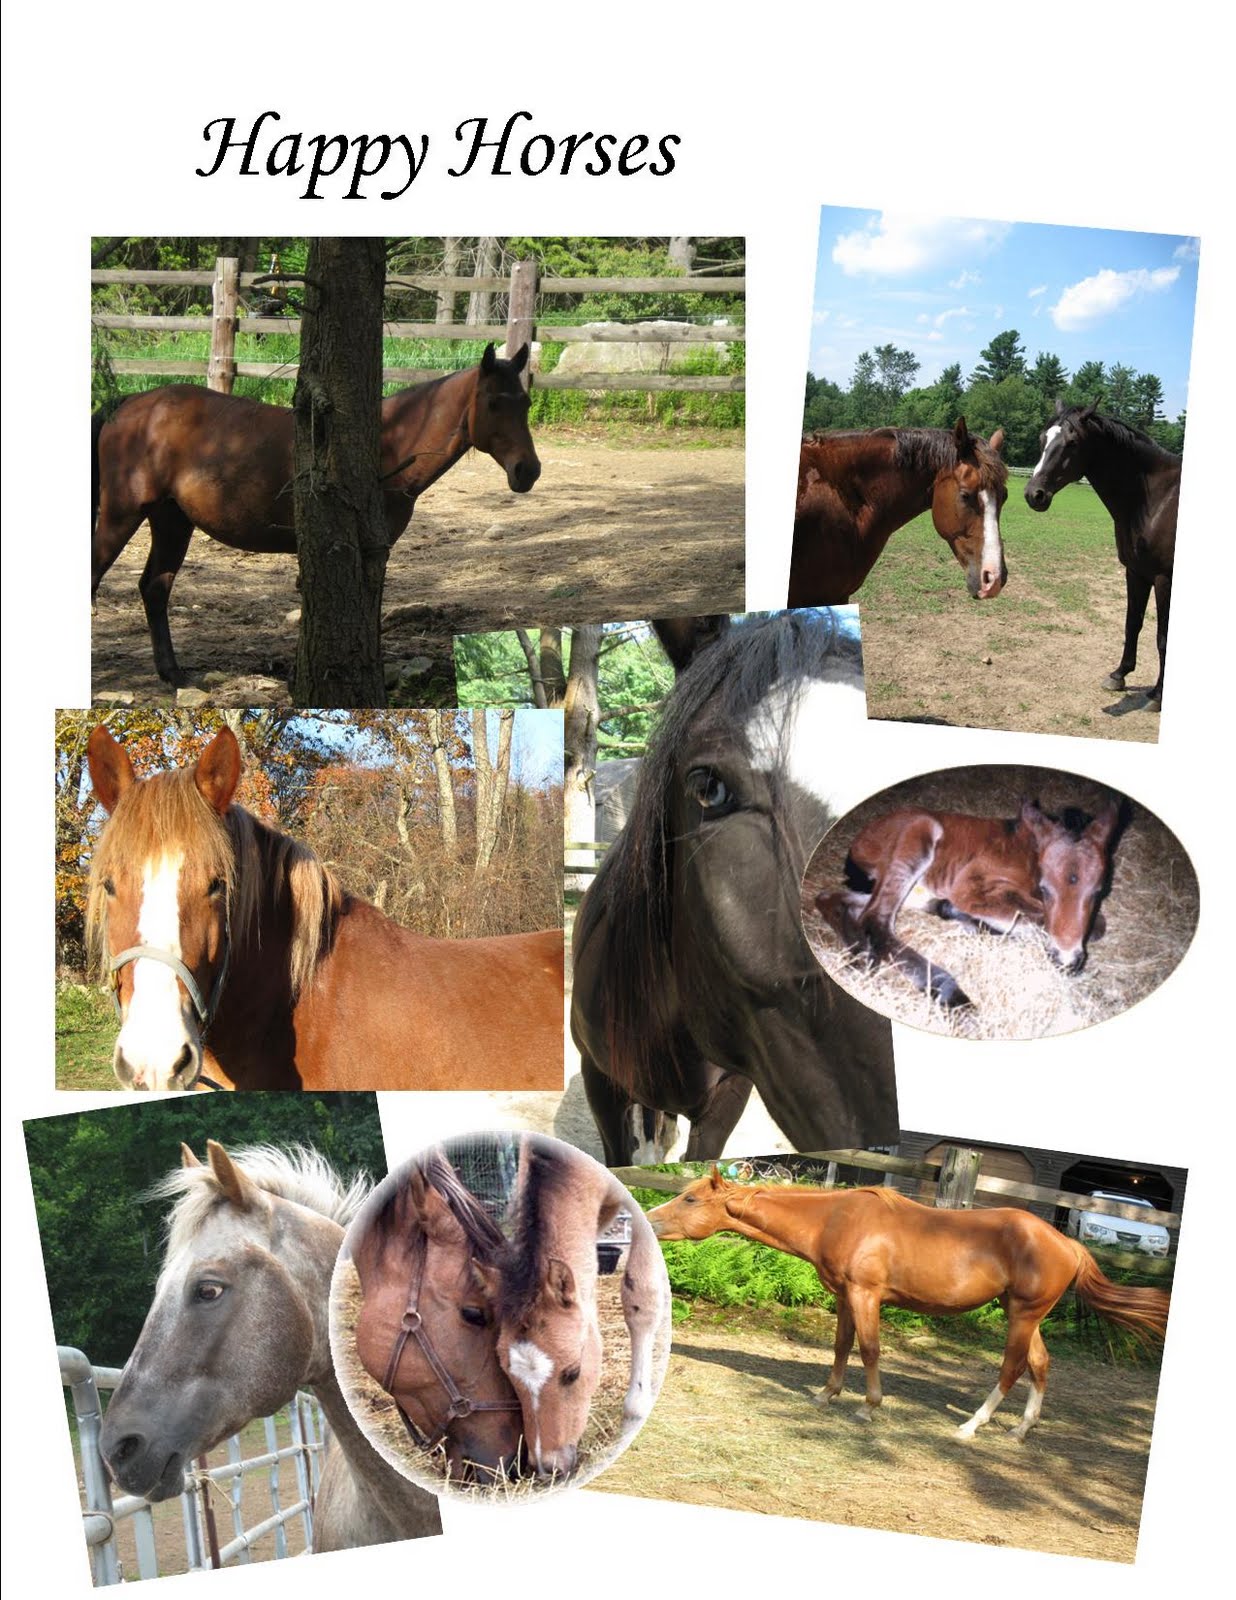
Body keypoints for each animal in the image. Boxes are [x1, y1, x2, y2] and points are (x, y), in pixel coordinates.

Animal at [92, 343, 541, 685]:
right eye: (493, 403)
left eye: (526, 402)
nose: (528, 470)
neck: (385, 445)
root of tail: (129, 404)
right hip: (121, 514)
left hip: (172, 521)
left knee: (154, 588)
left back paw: (173, 673)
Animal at [648, 1170, 1169, 1441]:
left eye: (690, 1198)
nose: (648, 1220)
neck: (835, 1219)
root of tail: (1067, 1243)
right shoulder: (844, 1297)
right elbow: (841, 1347)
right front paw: (826, 1395)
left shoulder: (865, 1295)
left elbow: (870, 1350)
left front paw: (869, 1408)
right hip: (1023, 1313)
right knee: (1040, 1365)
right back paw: (1021, 1431)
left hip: (1022, 1315)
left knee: (1013, 1367)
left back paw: (970, 1425)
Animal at [816, 797, 1122, 1009]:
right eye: (1045, 888)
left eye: (1099, 891)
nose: (1067, 960)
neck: (1027, 853)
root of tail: (858, 842)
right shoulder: (968, 888)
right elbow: (1035, 919)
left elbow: (1095, 925)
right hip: (919, 832)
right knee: (875, 919)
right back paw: (952, 994)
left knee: (833, 899)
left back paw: (861, 954)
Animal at [1025, 401, 1179, 710]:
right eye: (1042, 438)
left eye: (1072, 443)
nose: (1033, 494)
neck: (1156, 500)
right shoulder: (1136, 572)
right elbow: (1133, 623)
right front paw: (1119, 675)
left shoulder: (1164, 579)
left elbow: (1163, 637)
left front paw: (1158, 694)